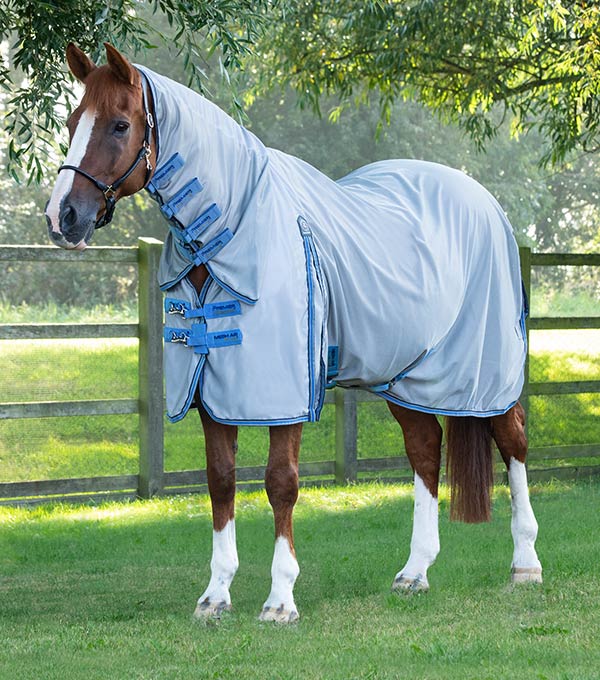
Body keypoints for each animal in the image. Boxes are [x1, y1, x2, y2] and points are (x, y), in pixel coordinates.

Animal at [45, 43, 542, 623]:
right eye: (73, 122)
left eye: (120, 125)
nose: (62, 217)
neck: (235, 230)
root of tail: (484, 202)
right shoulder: (212, 392)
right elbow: (220, 481)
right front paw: (215, 595)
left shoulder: (285, 395)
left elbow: (280, 483)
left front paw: (281, 598)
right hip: (404, 375)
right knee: (425, 448)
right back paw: (414, 572)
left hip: (486, 373)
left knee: (513, 442)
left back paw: (525, 564)